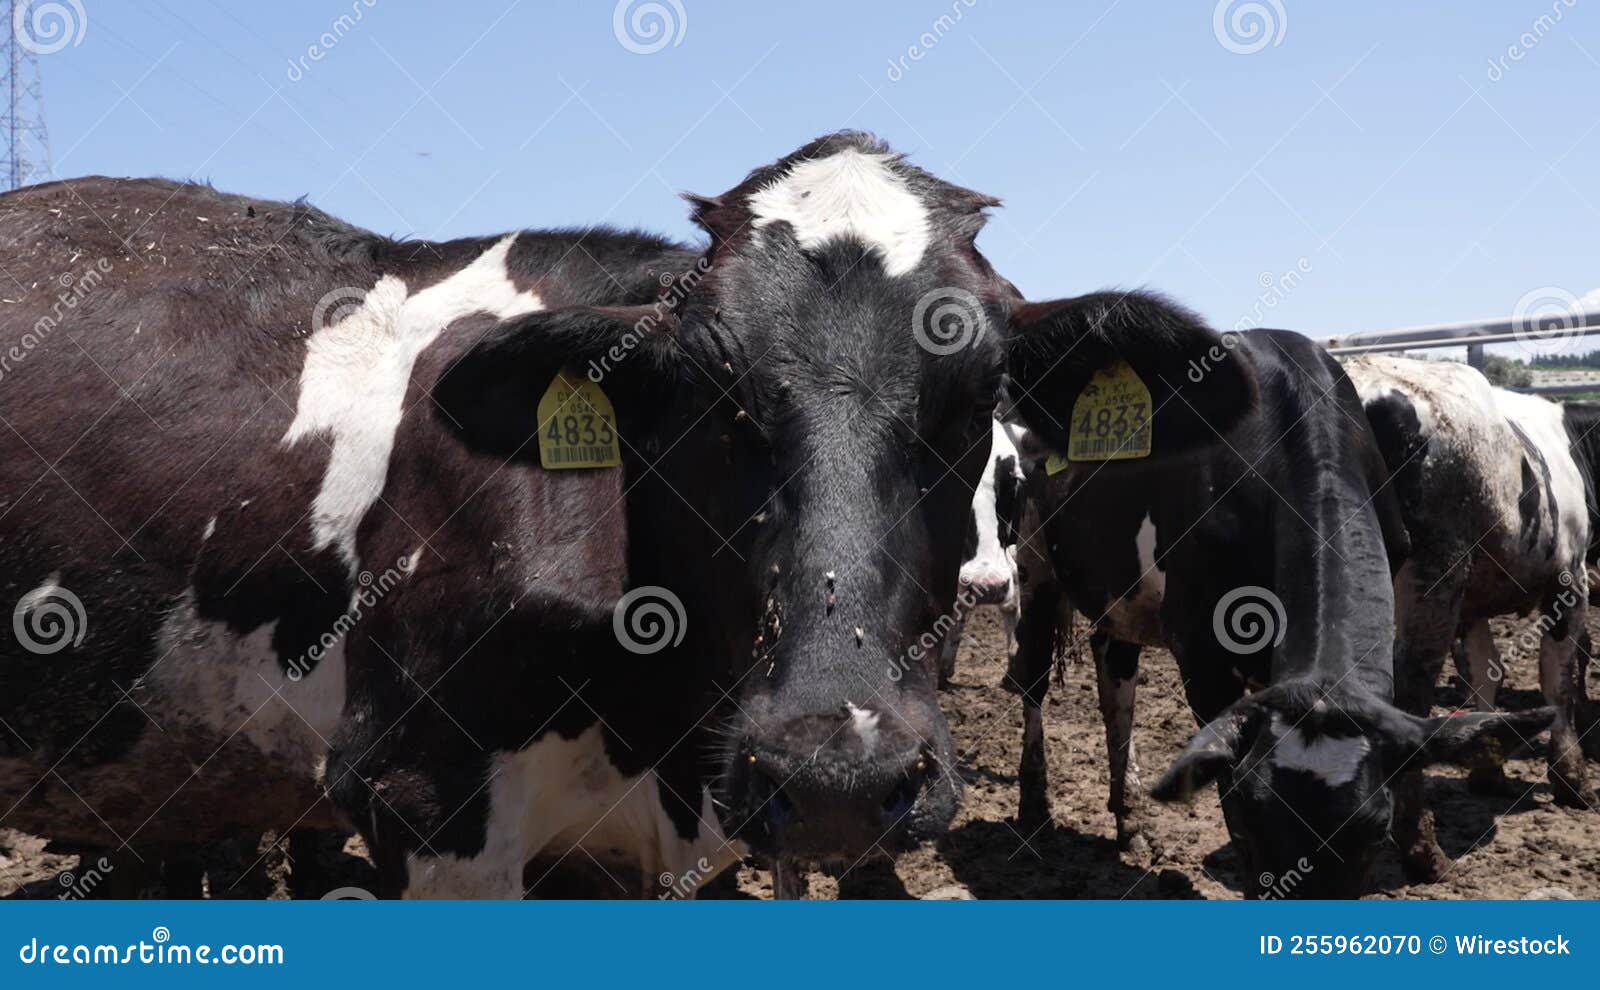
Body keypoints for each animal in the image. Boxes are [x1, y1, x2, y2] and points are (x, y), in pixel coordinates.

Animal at [1001, 298, 1553, 898]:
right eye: (1250, 821)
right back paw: (1034, 810)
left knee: (1115, 682)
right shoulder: (1201, 649)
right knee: (1031, 679)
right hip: (1032, 560)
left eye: (1376, 830)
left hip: (1120, 595)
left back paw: (1131, 825)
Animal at [1344, 355, 1595, 882]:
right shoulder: (1570, 578)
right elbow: (1557, 678)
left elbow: (1486, 672)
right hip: (1430, 579)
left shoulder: (1474, 606)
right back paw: (1422, 850)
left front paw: (1487, 768)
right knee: (1409, 695)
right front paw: (1573, 780)